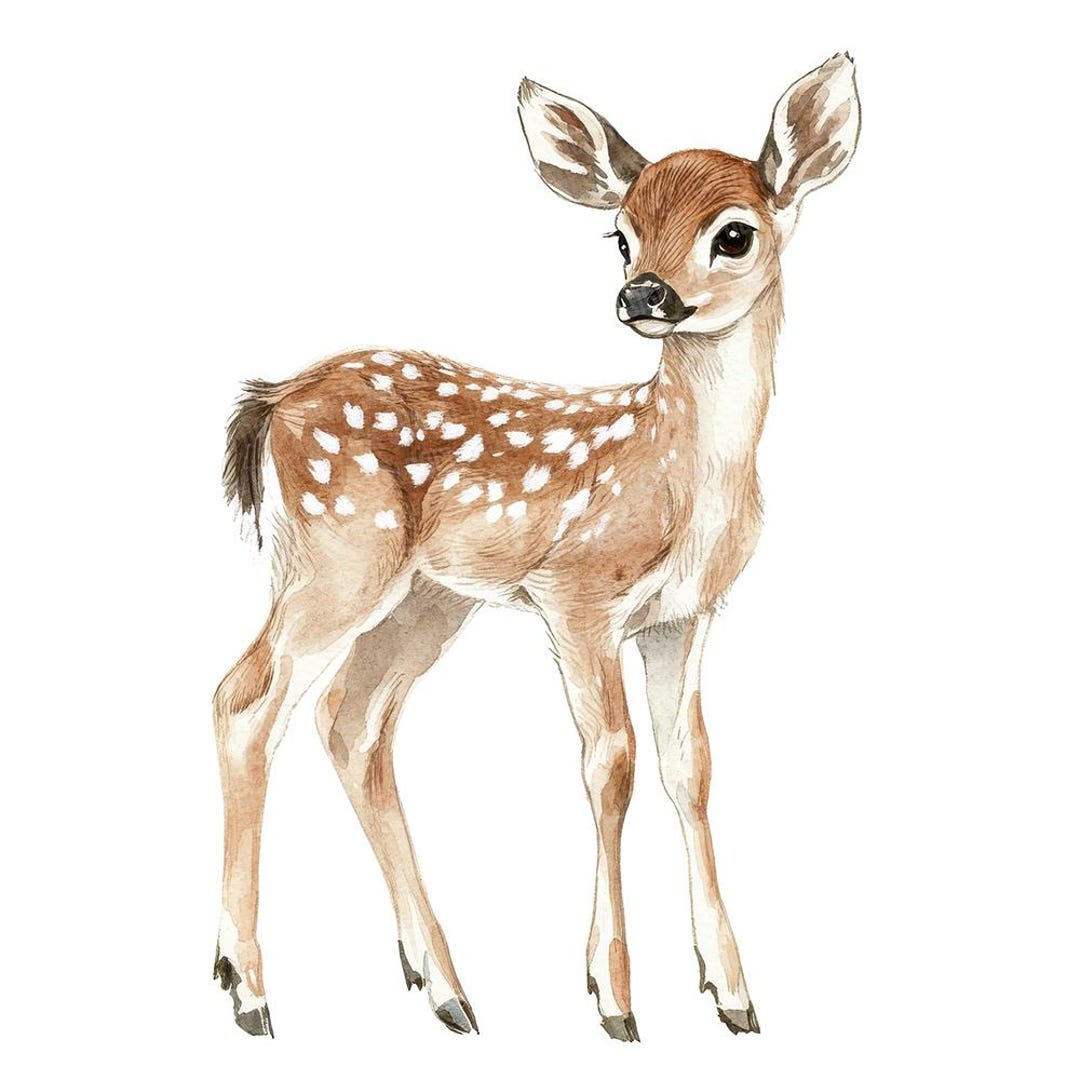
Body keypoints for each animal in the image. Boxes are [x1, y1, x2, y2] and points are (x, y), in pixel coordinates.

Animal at [213, 54, 861, 1042]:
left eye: (734, 234)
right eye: (621, 237)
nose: (645, 295)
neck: (681, 477)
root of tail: (275, 400)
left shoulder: (685, 614)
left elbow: (690, 765)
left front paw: (733, 993)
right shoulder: (577, 593)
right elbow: (611, 764)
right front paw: (614, 997)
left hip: (427, 597)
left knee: (352, 721)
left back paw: (443, 987)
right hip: (338, 557)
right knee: (245, 701)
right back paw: (248, 989)